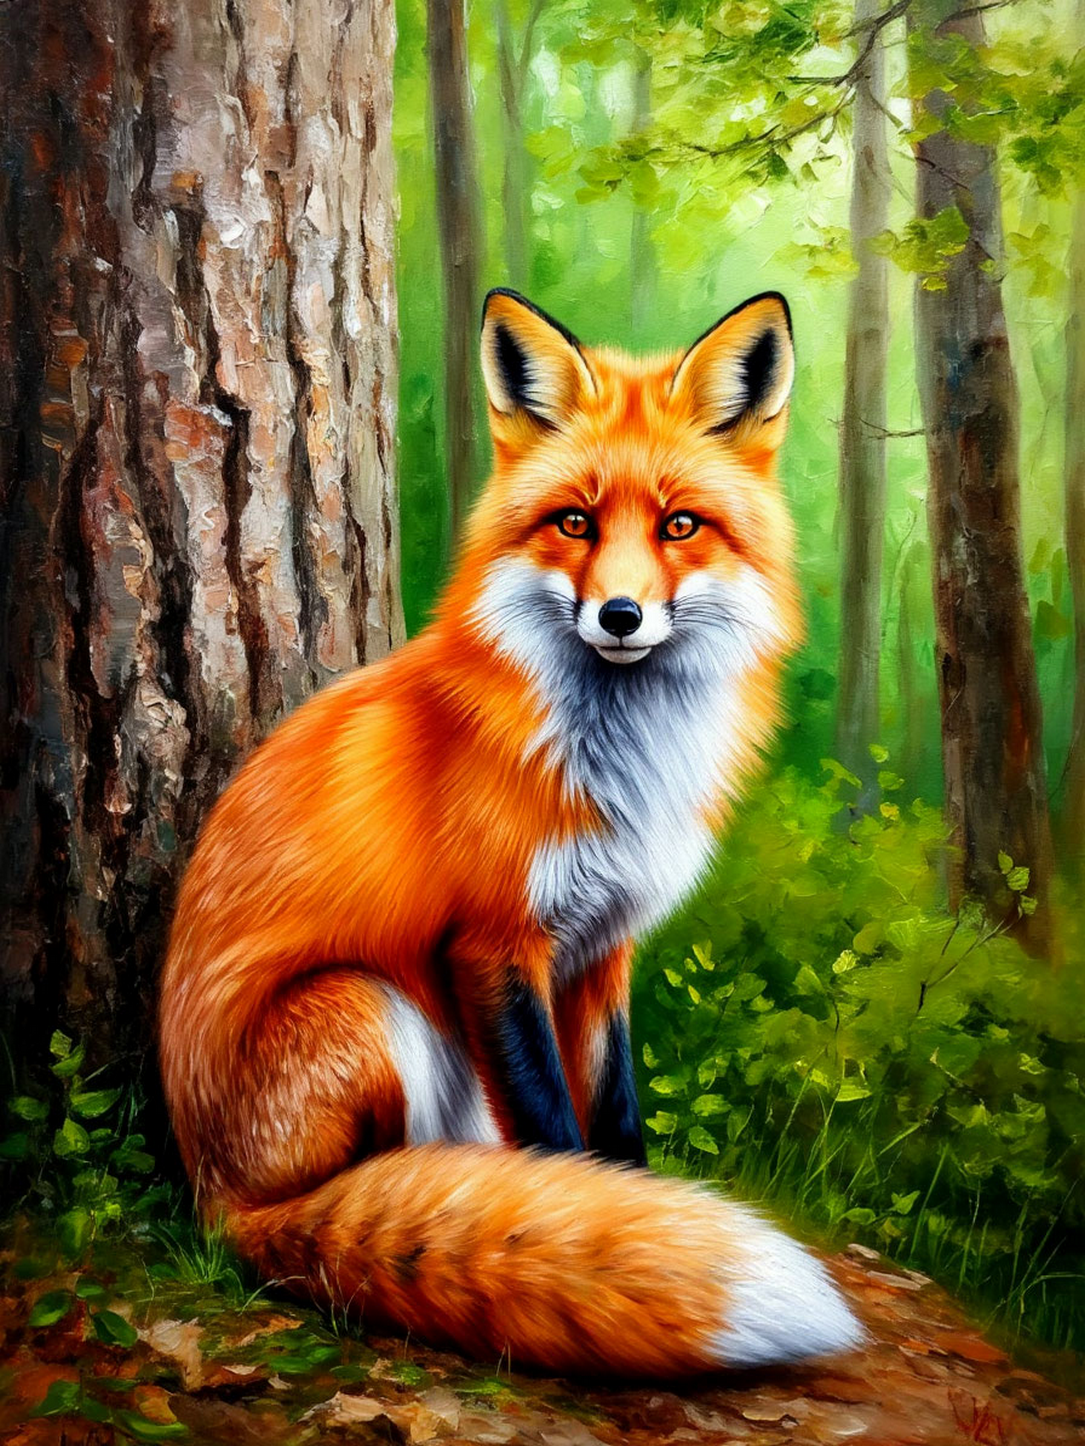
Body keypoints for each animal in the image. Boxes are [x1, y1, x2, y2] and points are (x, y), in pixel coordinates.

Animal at [159, 288, 864, 1378]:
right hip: (364, 1004)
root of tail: (214, 1202)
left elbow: (614, 1112)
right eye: (574, 521)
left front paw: (624, 1206)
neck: (614, 771)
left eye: (679, 525)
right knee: (350, 1202)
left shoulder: (605, 947)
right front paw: (583, 1220)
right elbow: (551, 1121)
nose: (620, 615)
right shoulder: (491, 944)